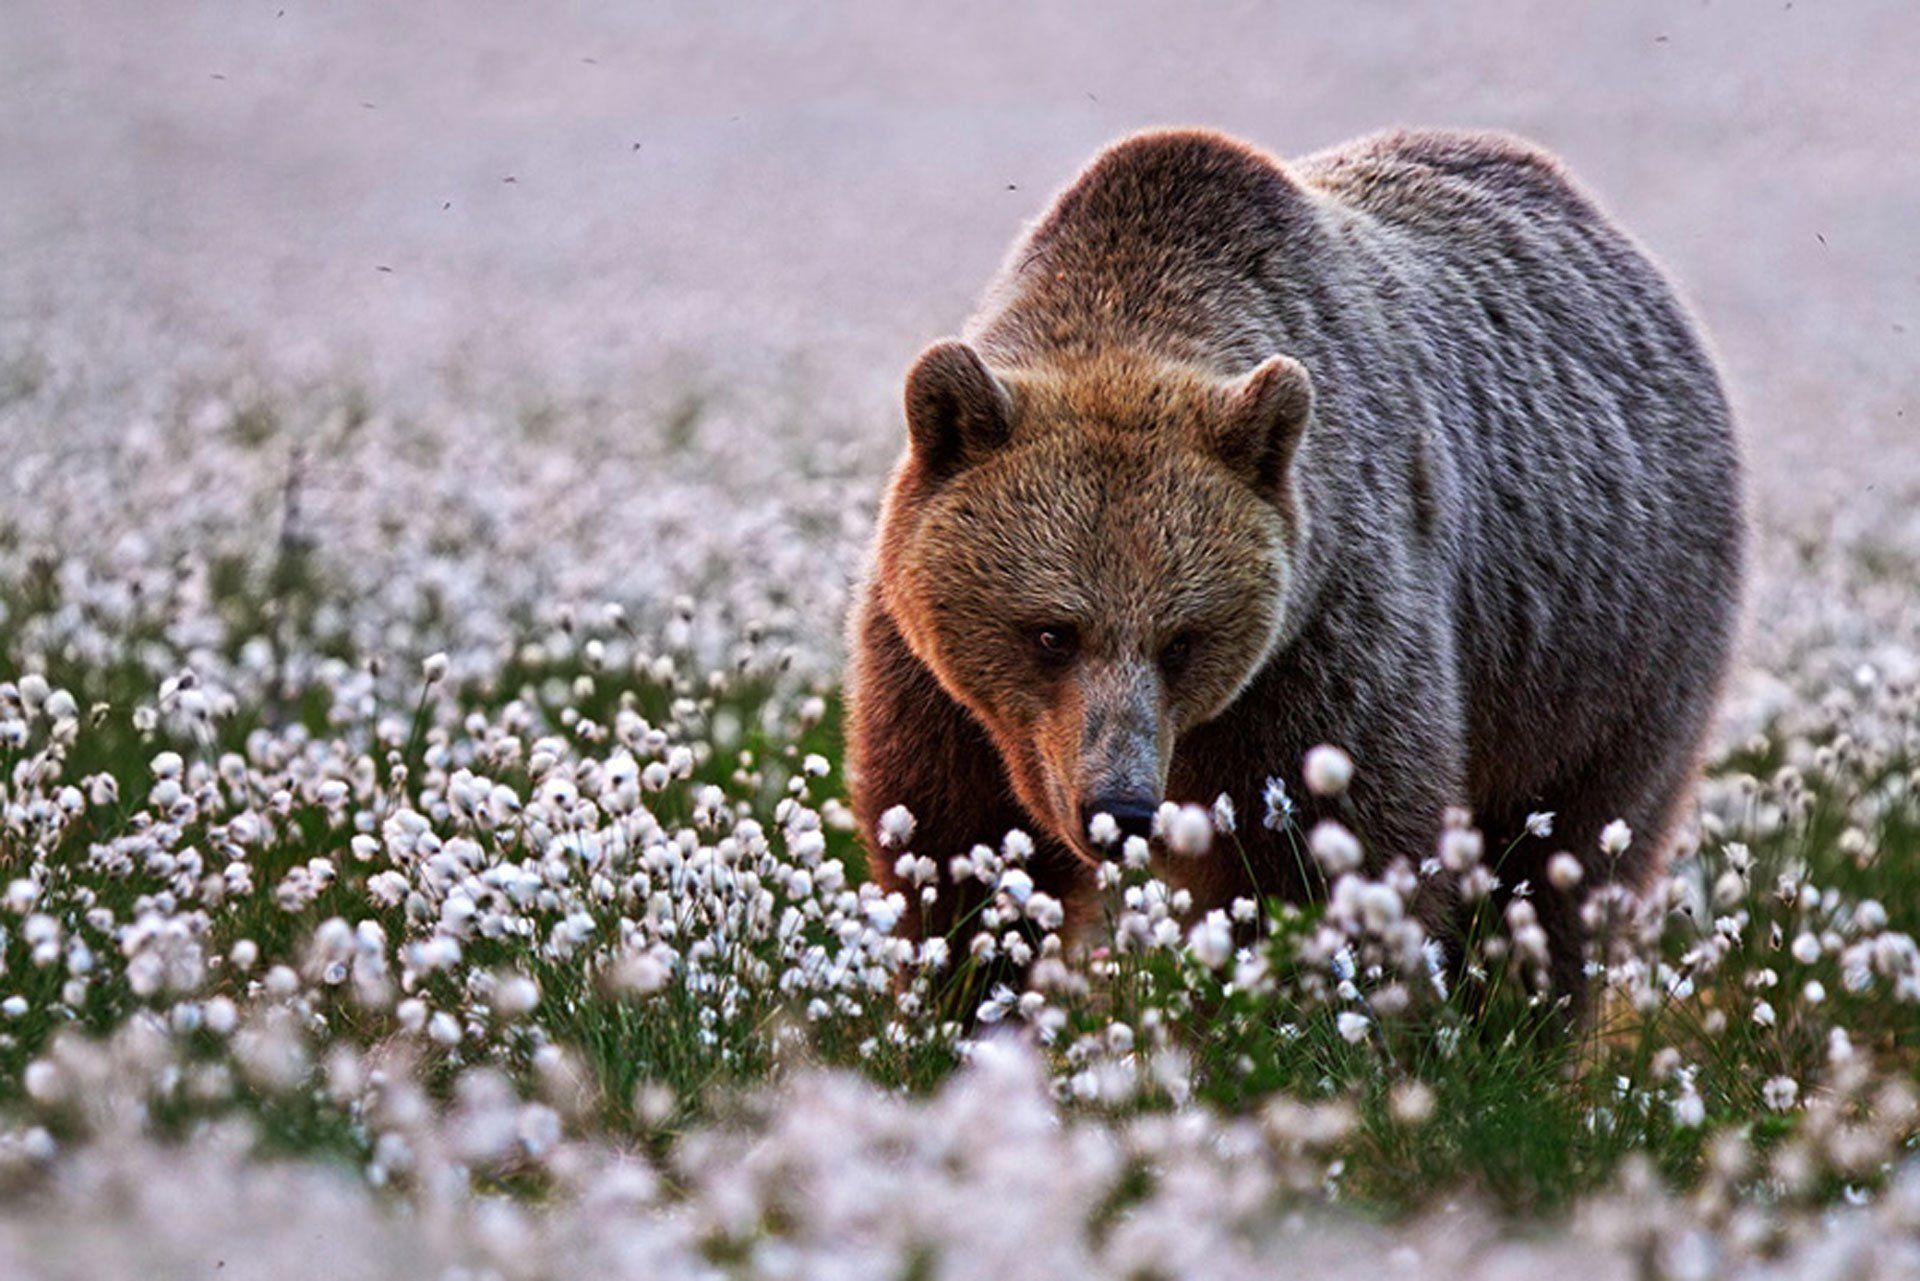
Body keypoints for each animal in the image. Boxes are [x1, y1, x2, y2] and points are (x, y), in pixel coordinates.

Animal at [845, 126, 1745, 1003]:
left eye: (1183, 638)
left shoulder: (1320, 643)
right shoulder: (940, 685)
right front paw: (954, 1001)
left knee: (1565, 866)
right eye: (1049, 631)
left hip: (1606, 658)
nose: (1120, 808)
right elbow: (952, 845)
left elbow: (1330, 855)